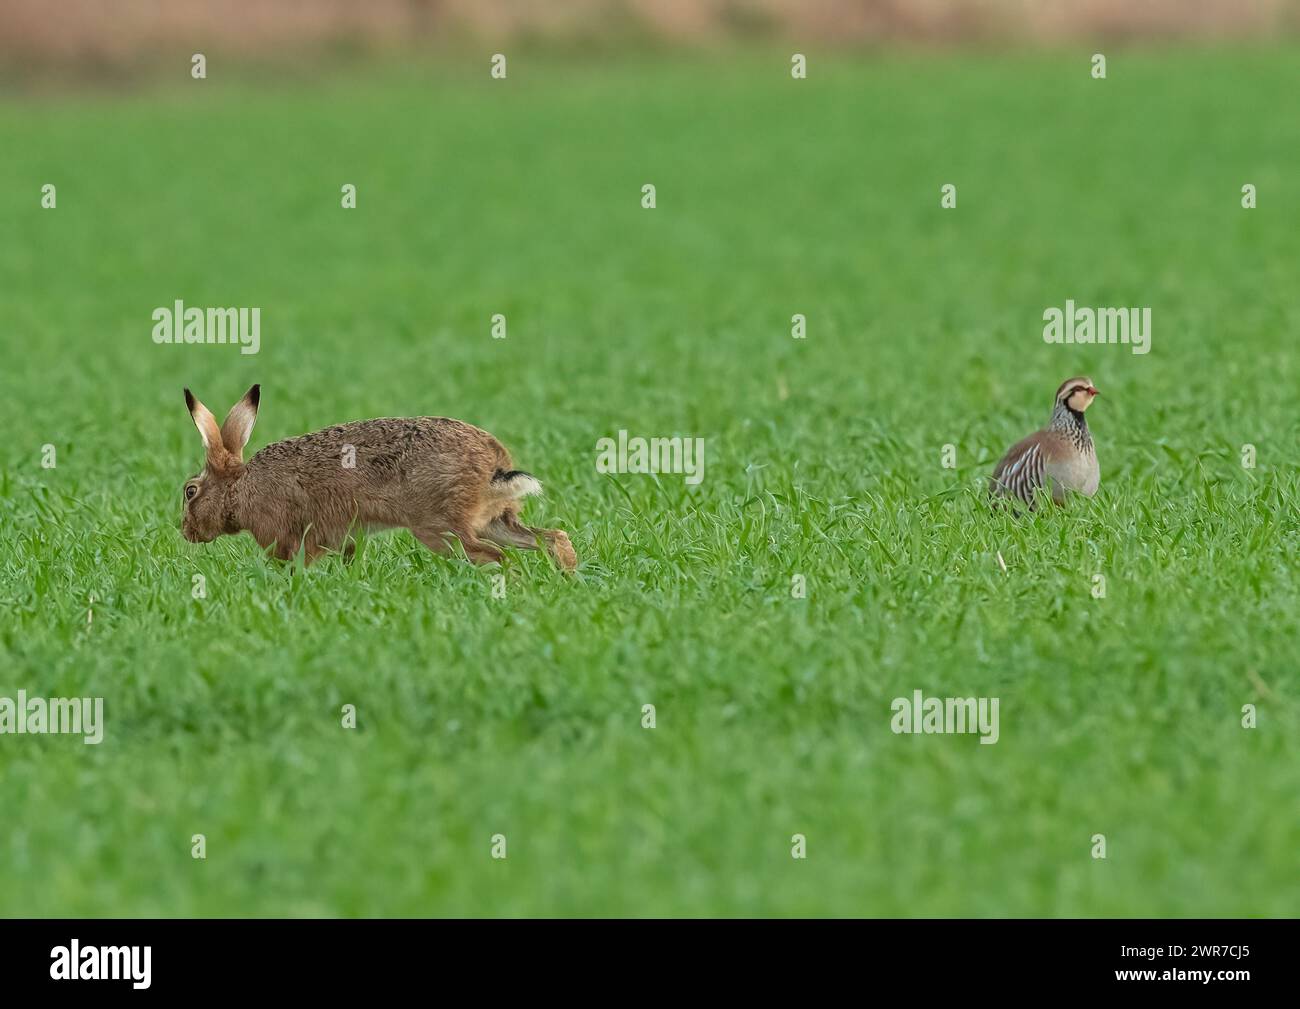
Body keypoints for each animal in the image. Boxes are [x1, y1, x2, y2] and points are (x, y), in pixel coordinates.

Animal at [180, 384, 577, 570]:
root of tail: (494, 462)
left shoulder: (284, 537)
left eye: (190, 492)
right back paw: (567, 578)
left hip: (440, 527)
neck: (238, 489)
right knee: (550, 538)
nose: (185, 532)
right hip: (494, 520)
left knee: (497, 556)